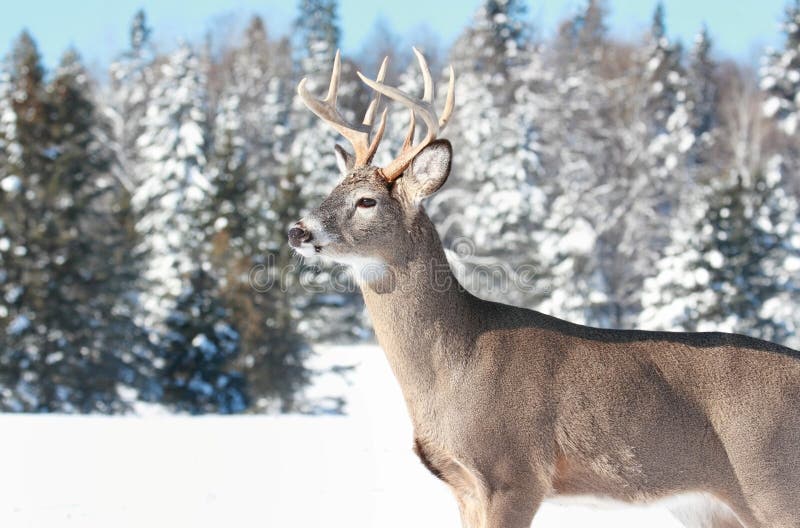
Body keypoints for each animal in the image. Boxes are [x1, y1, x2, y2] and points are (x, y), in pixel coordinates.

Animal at [287, 48, 800, 528]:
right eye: (330, 189)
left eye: (366, 201)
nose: (298, 230)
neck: (453, 368)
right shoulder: (463, 485)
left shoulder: (513, 472)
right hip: (708, 504)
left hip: (771, 483)